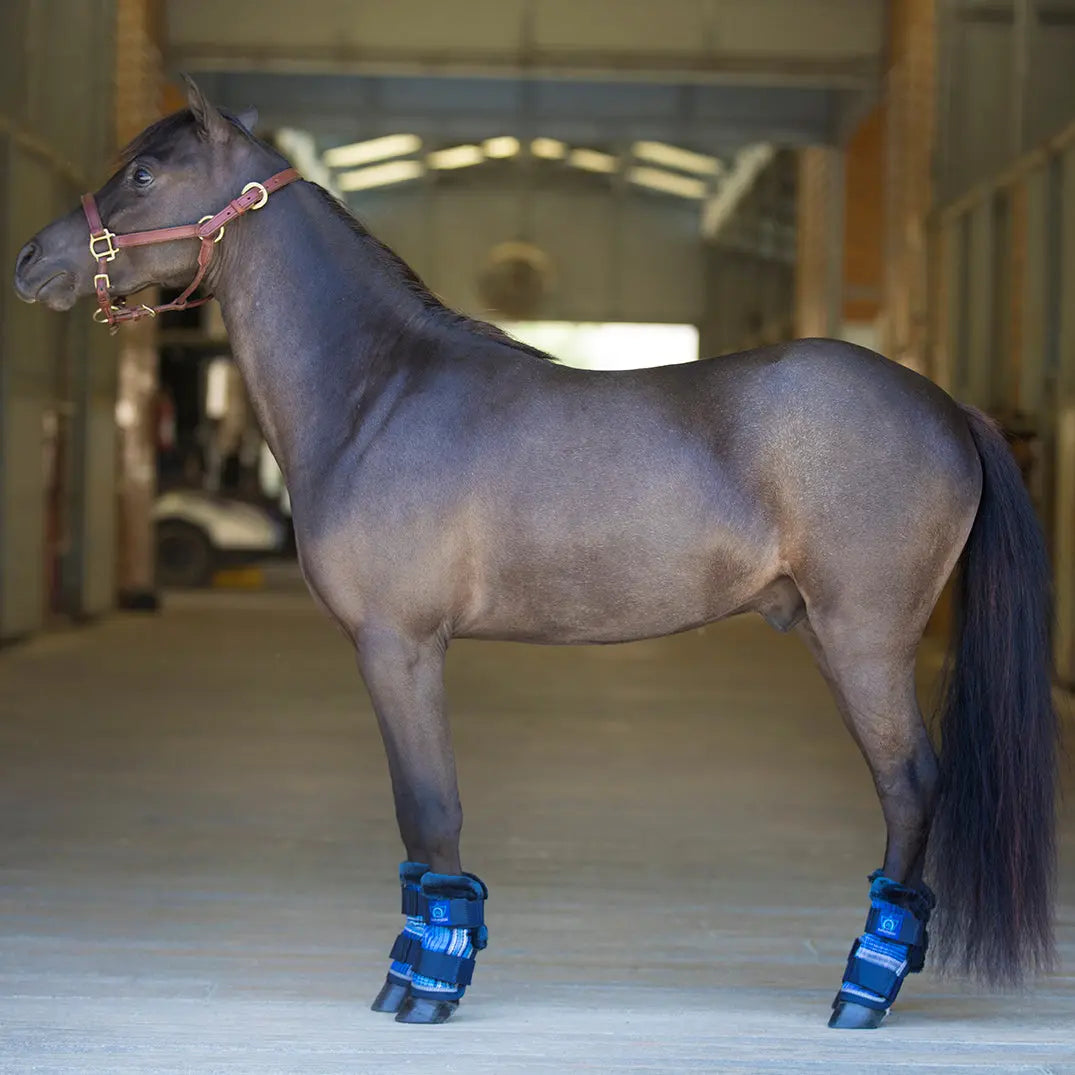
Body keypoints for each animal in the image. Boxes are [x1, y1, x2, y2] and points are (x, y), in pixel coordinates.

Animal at [13, 78, 1058, 1029]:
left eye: (145, 173)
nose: (30, 261)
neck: (376, 393)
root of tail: (943, 405)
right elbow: (421, 820)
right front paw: (418, 969)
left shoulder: (399, 645)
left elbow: (429, 808)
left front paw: (427, 987)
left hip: (863, 638)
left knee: (910, 787)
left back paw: (862, 993)